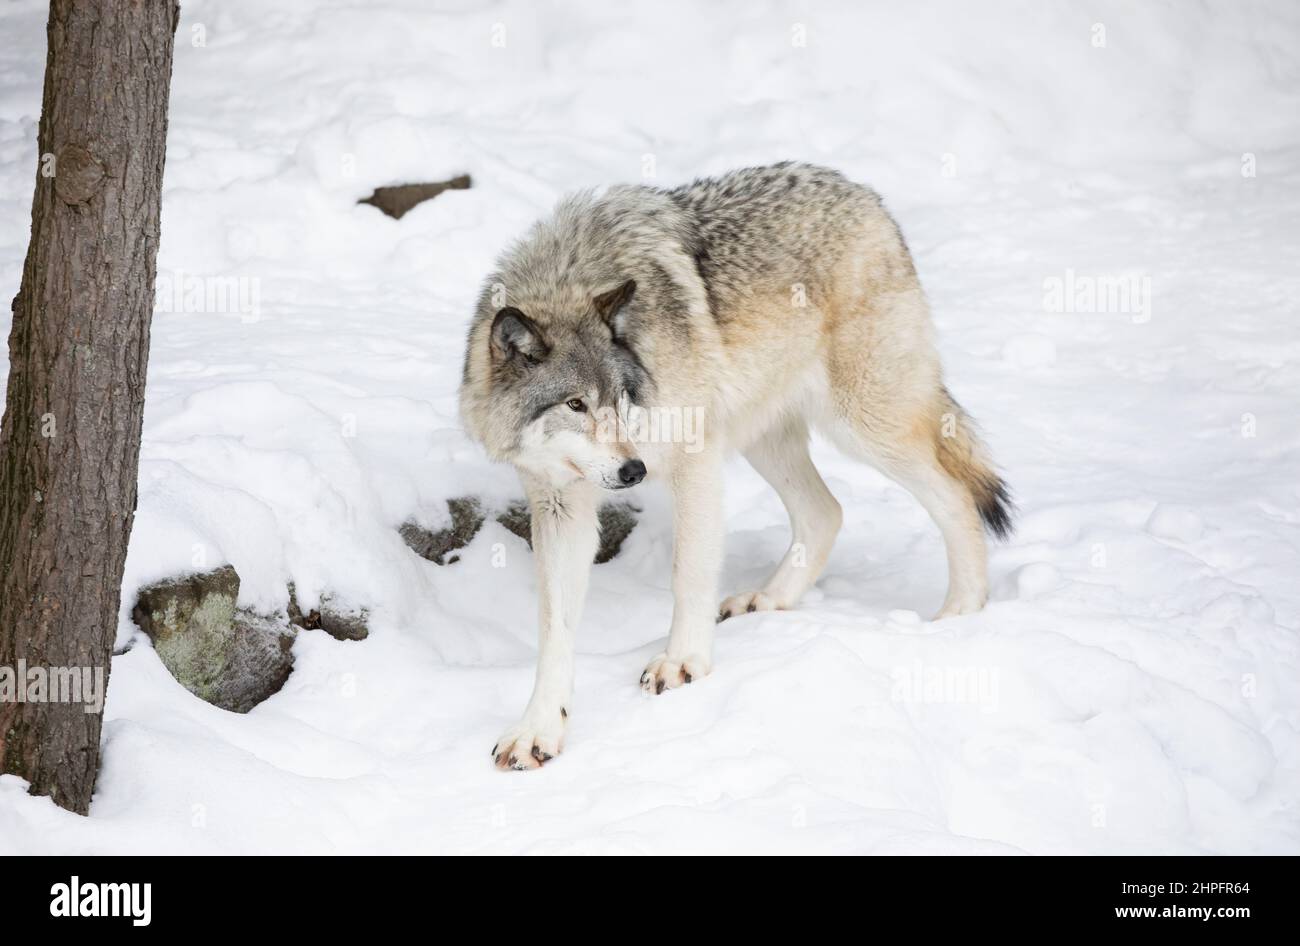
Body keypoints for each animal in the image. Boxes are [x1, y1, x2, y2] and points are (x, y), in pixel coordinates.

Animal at [460, 162, 1011, 770]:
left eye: (620, 398)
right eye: (576, 404)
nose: (633, 473)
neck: (568, 278)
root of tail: (866, 195)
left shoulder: (694, 464)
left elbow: (688, 574)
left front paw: (683, 662)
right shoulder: (561, 504)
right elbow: (554, 629)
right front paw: (539, 729)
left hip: (867, 428)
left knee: (955, 496)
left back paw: (960, 614)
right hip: (768, 440)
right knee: (828, 512)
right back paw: (769, 601)